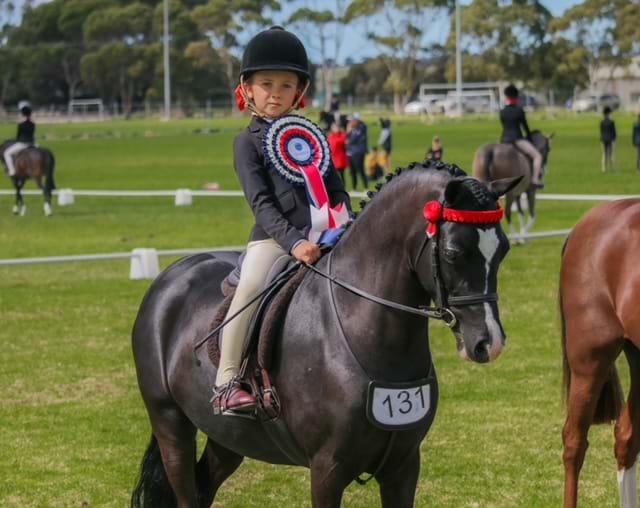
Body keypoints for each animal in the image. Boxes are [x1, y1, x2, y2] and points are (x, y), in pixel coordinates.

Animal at [131, 160, 521, 508]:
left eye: (503, 249)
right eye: (453, 252)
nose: (488, 343)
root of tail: (172, 275)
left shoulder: (404, 464)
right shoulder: (327, 469)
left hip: (228, 437)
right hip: (171, 424)